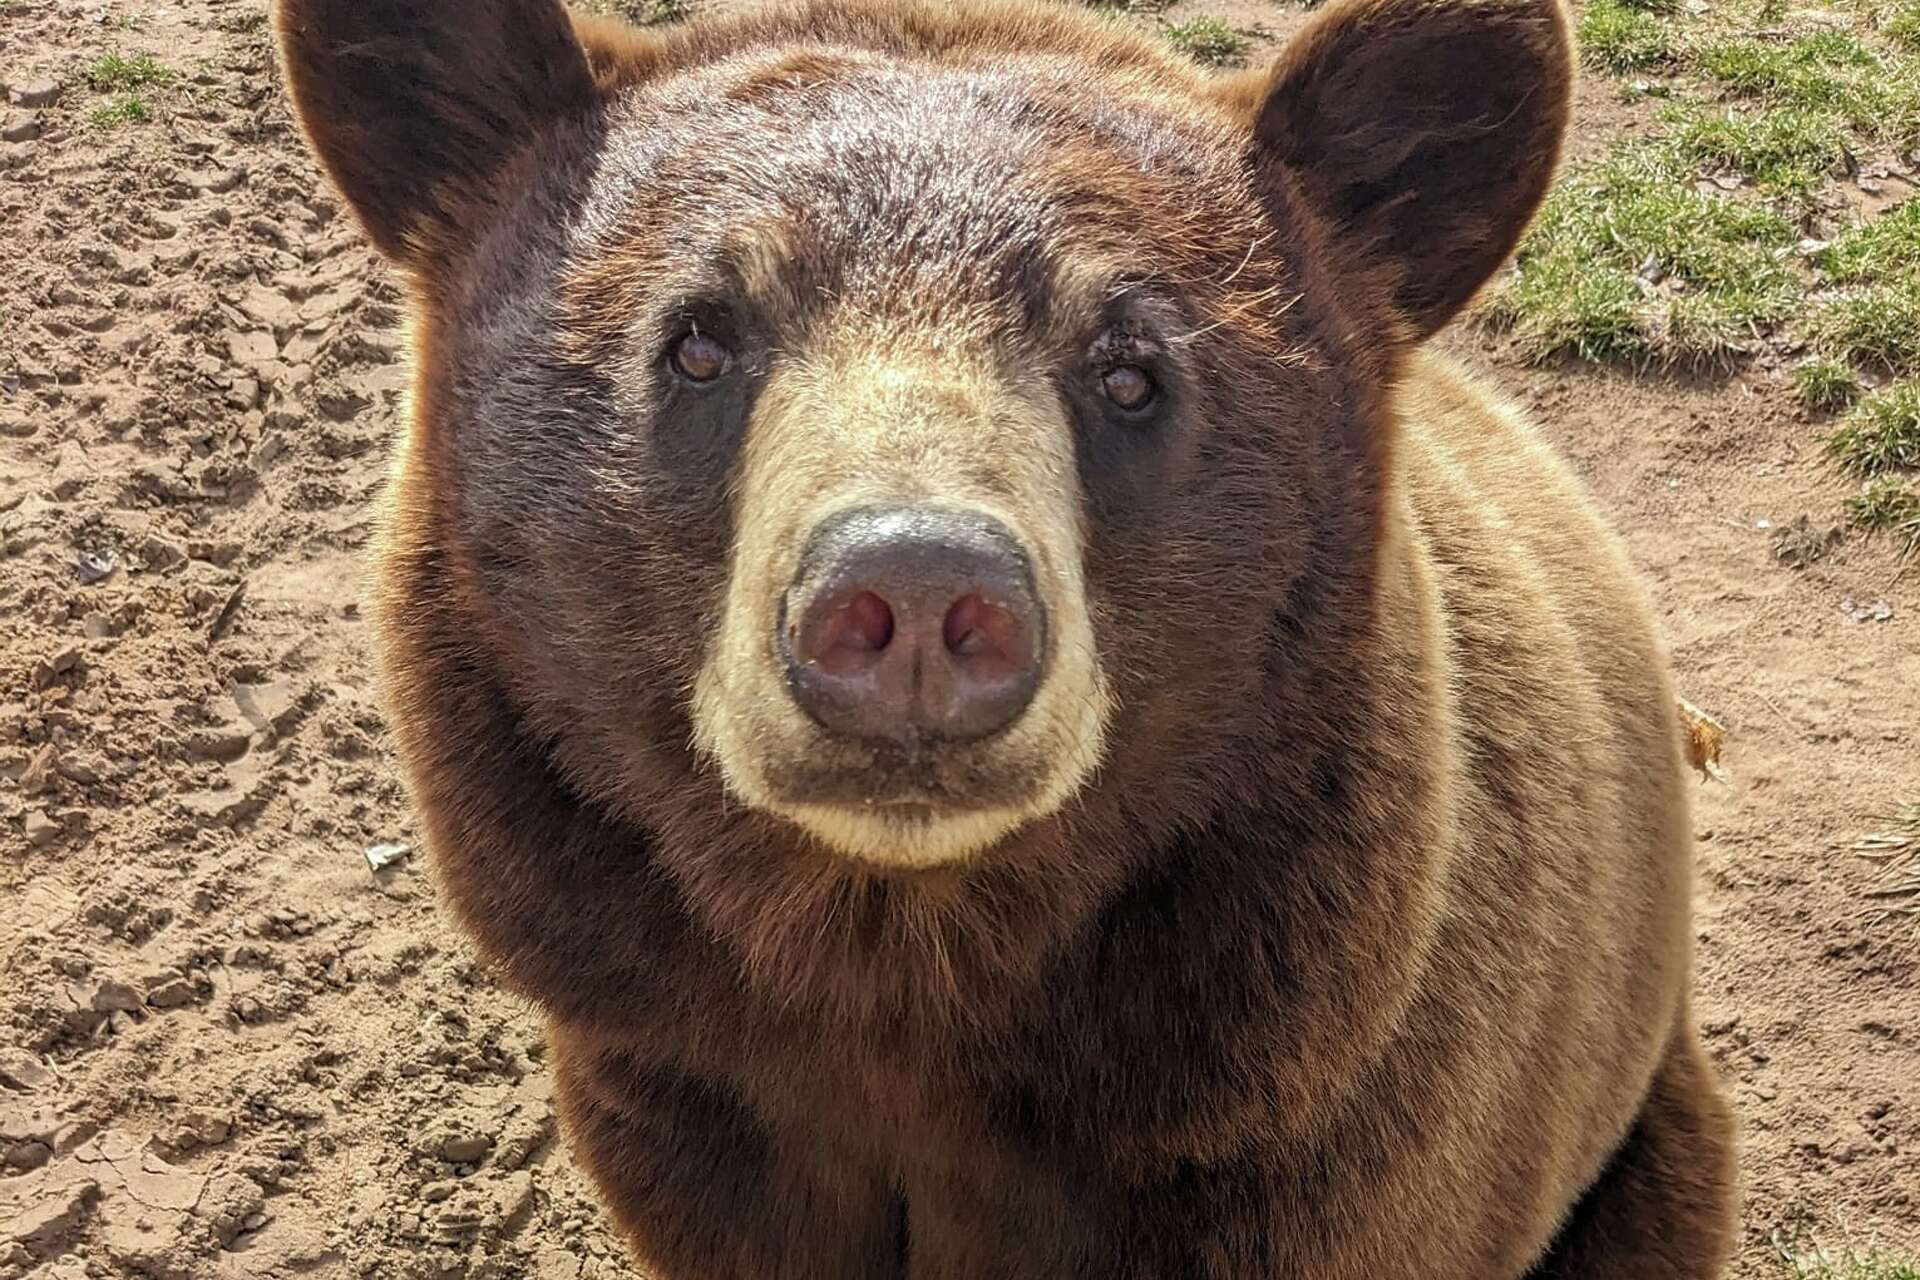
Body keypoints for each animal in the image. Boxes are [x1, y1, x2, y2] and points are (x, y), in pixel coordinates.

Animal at [272, 0, 1740, 1274]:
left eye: (1130, 368)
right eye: (699, 338)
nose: (918, 594)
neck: (905, 975)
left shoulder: (1337, 1146)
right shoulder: (684, 1099)